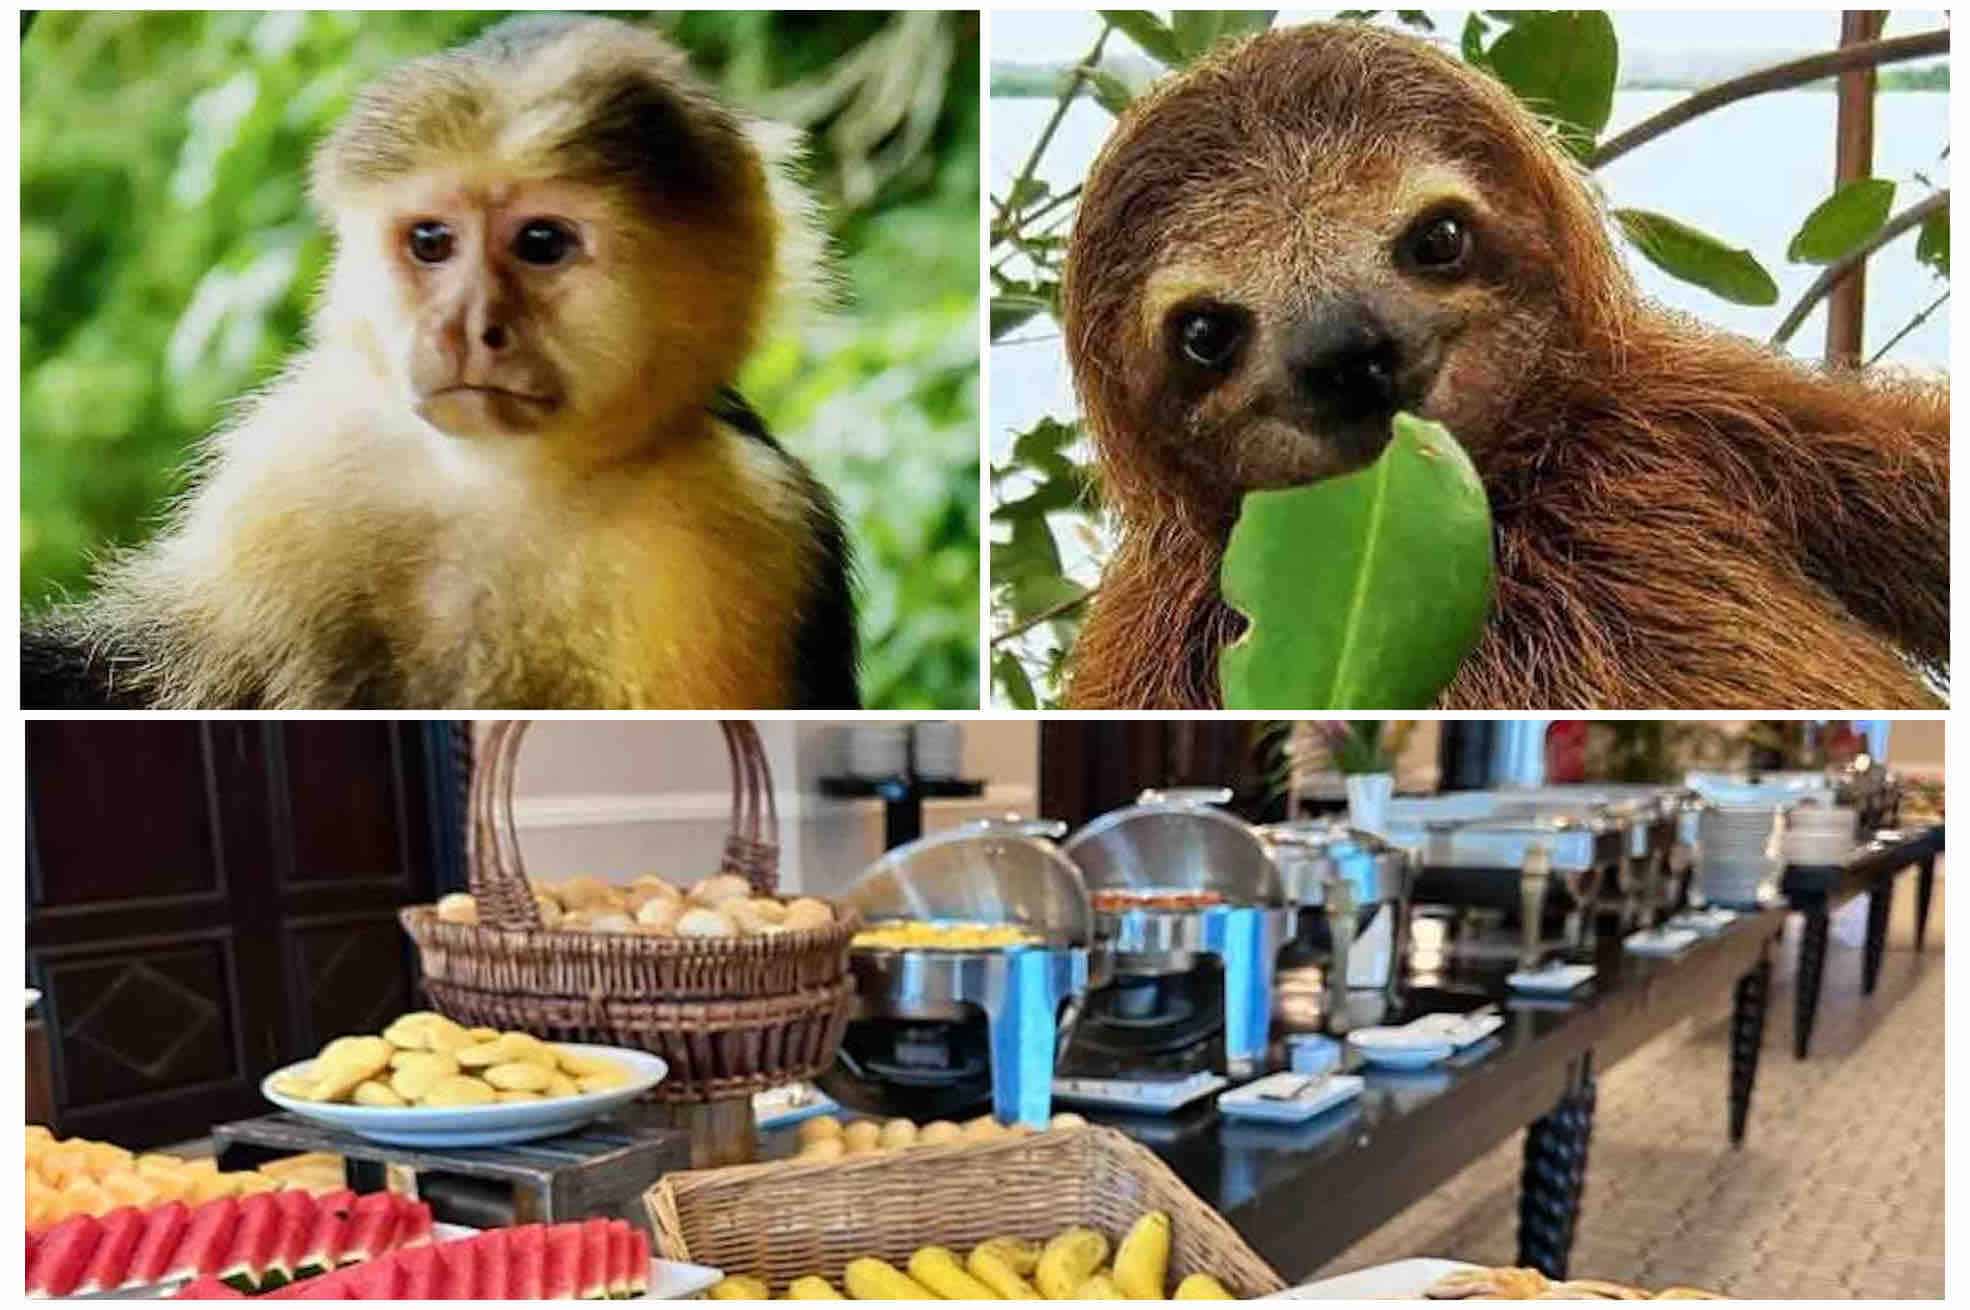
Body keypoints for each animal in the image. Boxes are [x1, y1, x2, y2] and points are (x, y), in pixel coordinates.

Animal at [22, 15, 859, 709]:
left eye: (542, 242)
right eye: (432, 241)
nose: (466, 329)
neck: (507, 482)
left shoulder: (738, 533)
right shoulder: (303, 447)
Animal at [1059, 22, 1948, 710]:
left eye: (1439, 239)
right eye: (1204, 333)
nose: (1346, 350)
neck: (1499, 500)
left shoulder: (1708, 416)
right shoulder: (1157, 633)